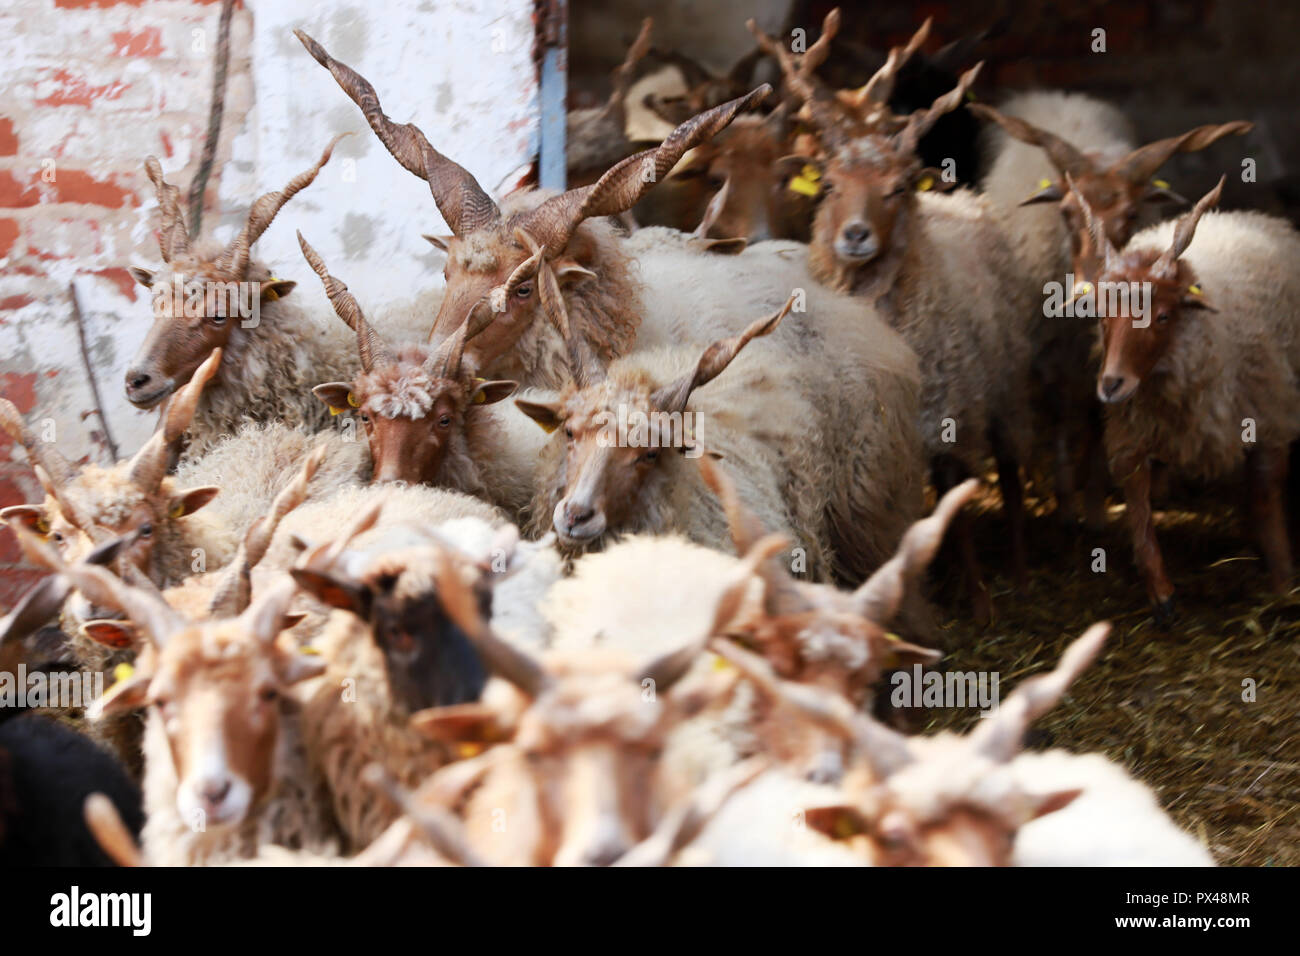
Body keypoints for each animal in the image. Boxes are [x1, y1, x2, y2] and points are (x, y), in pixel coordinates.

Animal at [1071, 176, 1300, 614]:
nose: (1111, 385)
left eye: (1162, 316)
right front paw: (1160, 592)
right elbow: (1138, 503)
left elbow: (1266, 495)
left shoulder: (1269, 415)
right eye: (1103, 316)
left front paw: (1283, 581)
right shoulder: (1132, 428)